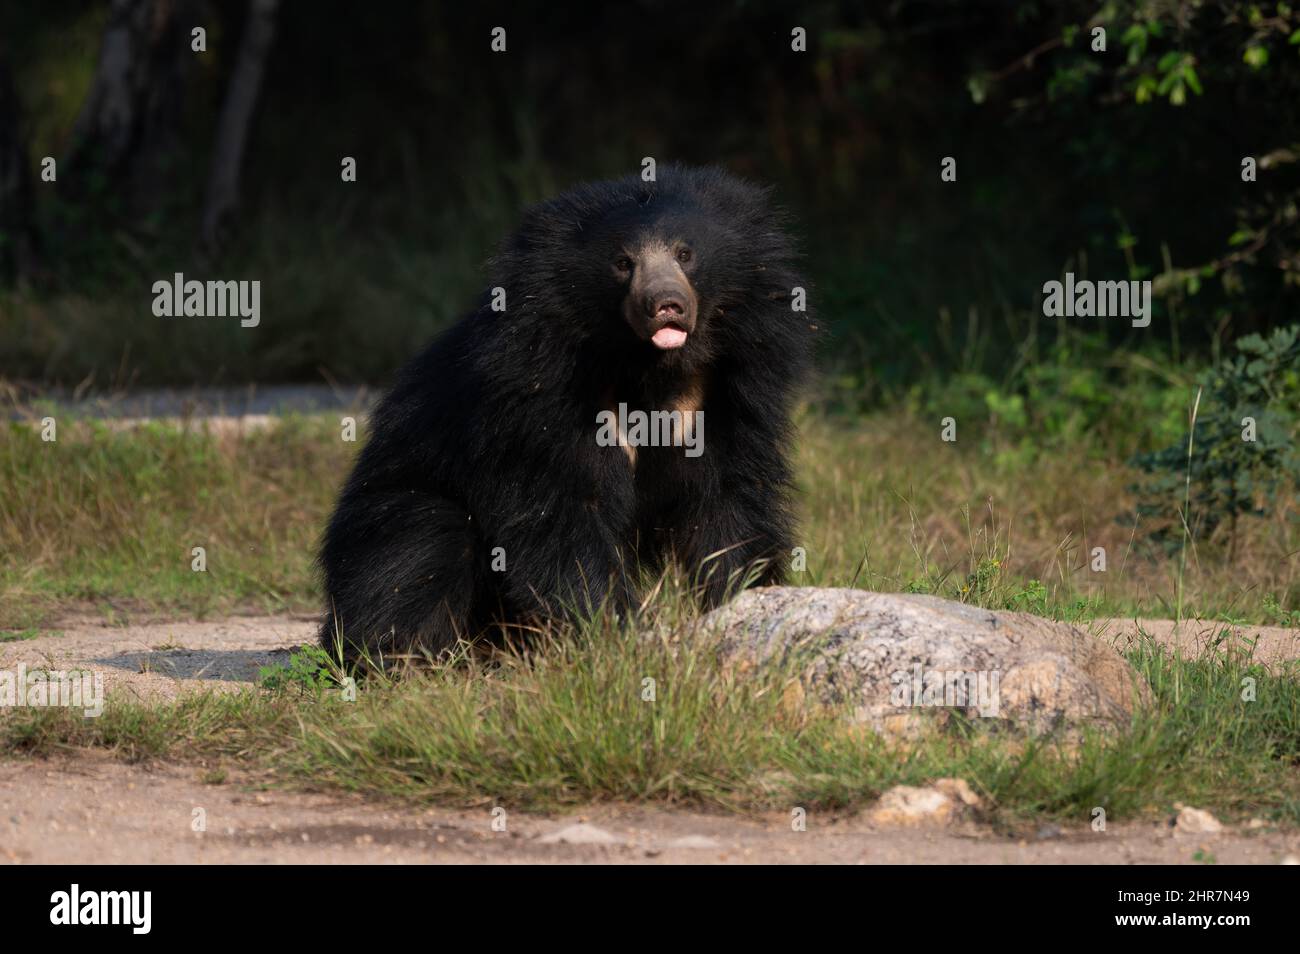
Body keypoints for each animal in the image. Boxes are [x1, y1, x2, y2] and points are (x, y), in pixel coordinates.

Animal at [318, 164, 816, 664]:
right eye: (623, 263)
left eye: (685, 254)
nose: (666, 304)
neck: (649, 365)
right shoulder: (541, 394)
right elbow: (564, 513)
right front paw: (616, 631)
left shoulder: (726, 390)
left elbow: (724, 505)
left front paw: (739, 602)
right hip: (384, 510)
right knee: (419, 547)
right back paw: (410, 659)